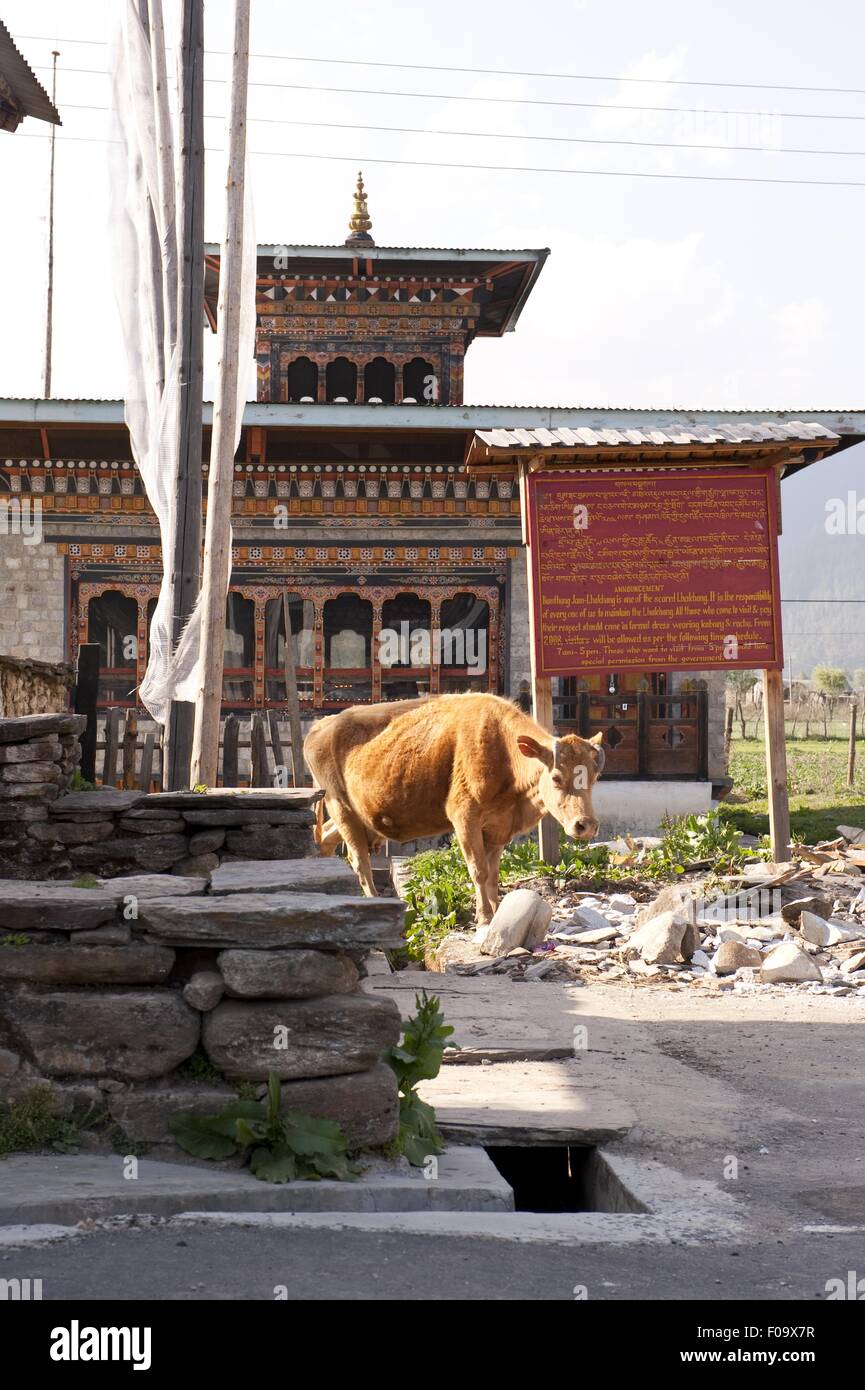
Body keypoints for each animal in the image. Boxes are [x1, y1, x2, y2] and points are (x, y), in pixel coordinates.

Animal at [305, 691, 604, 924]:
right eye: (556, 778)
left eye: (594, 777)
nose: (585, 825)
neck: (505, 753)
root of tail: (322, 725)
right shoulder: (465, 819)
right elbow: (479, 870)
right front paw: (484, 917)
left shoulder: (499, 828)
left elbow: (493, 874)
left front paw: (496, 910)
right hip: (340, 806)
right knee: (359, 861)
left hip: (357, 818)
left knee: (327, 840)